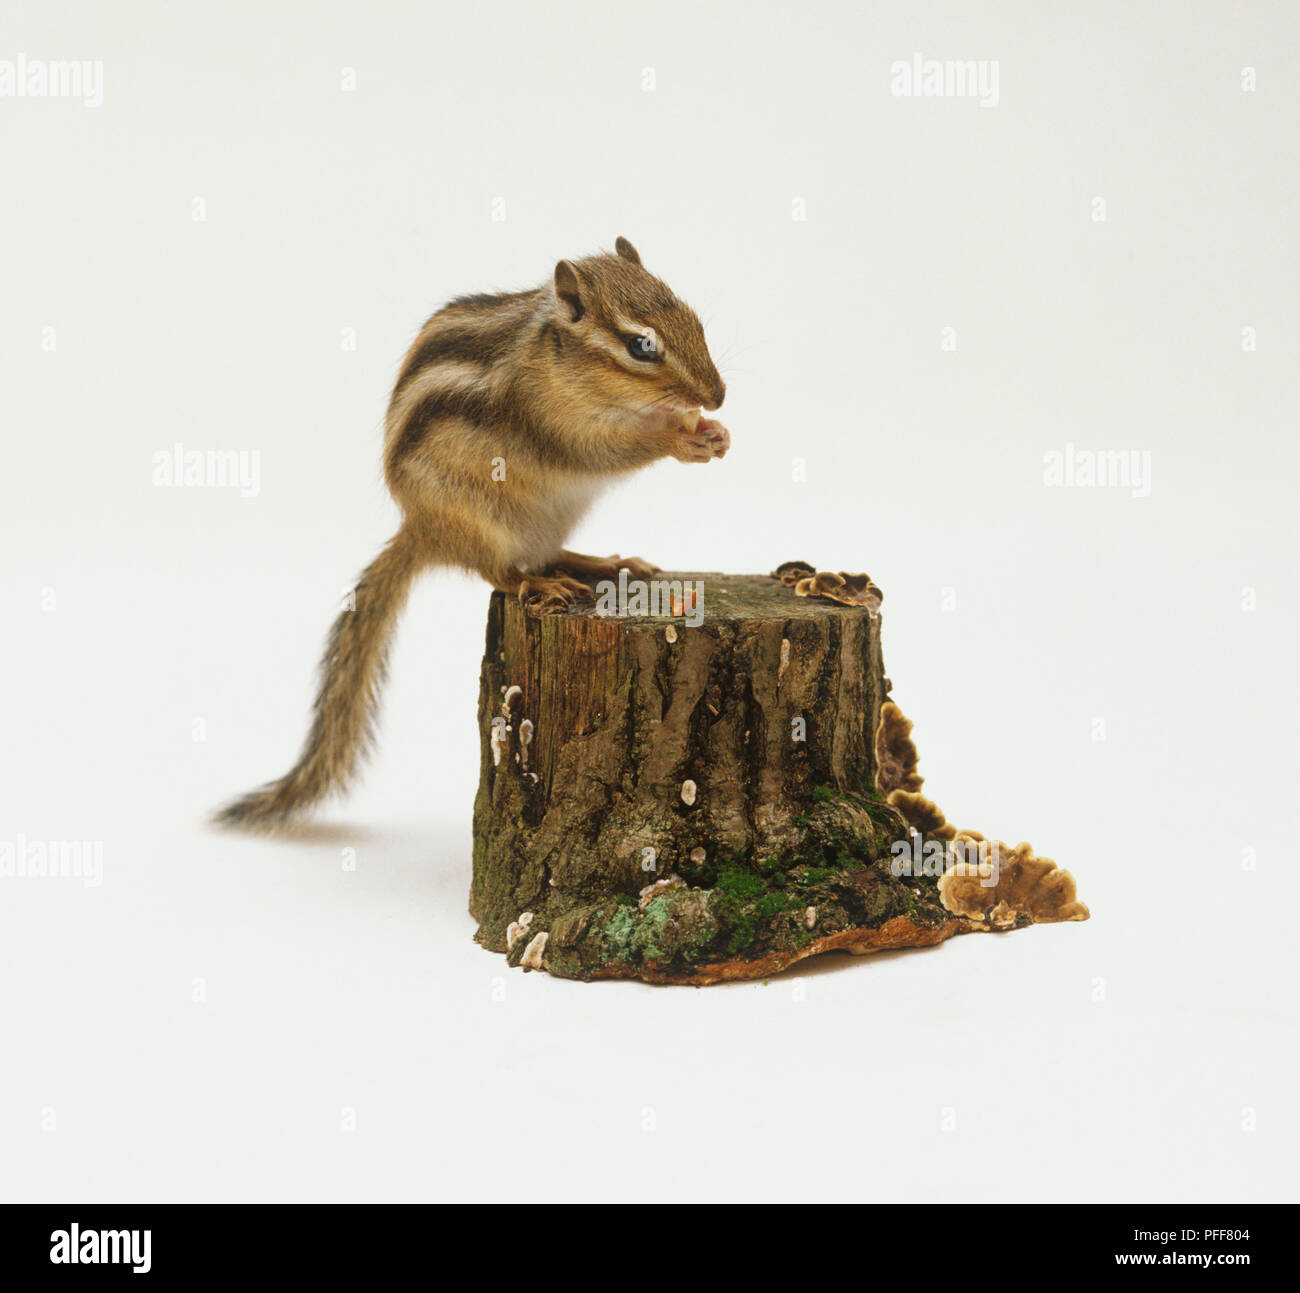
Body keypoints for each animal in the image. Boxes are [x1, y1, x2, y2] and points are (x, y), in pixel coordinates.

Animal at [214, 237, 729, 831]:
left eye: (693, 318)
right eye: (641, 345)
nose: (717, 395)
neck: (556, 361)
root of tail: (421, 530)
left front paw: (710, 430)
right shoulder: (550, 422)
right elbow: (602, 451)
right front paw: (680, 436)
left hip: (551, 519)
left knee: (547, 552)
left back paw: (600, 563)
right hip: (481, 521)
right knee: (501, 573)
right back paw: (542, 584)